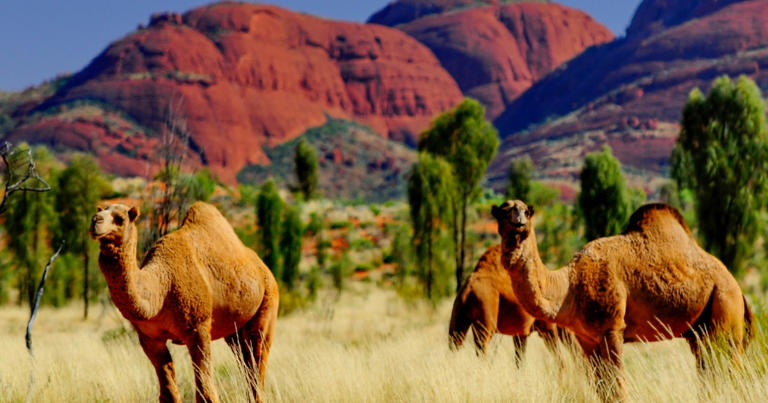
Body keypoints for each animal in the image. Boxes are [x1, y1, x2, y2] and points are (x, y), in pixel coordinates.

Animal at [90, 202, 279, 403]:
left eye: (120, 219)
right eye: (101, 210)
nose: (95, 221)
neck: (161, 287)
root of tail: (263, 267)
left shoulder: (198, 327)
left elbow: (205, 391)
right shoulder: (149, 338)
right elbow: (168, 393)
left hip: (268, 304)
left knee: (257, 364)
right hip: (234, 332)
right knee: (246, 365)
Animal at [491, 200, 754, 400]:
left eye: (526, 211)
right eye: (504, 211)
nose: (518, 221)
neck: (569, 288)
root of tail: (738, 288)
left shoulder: (612, 328)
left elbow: (617, 387)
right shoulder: (586, 338)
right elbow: (601, 389)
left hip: (725, 310)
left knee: (730, 369)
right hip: (700, 331)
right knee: (708, 371)